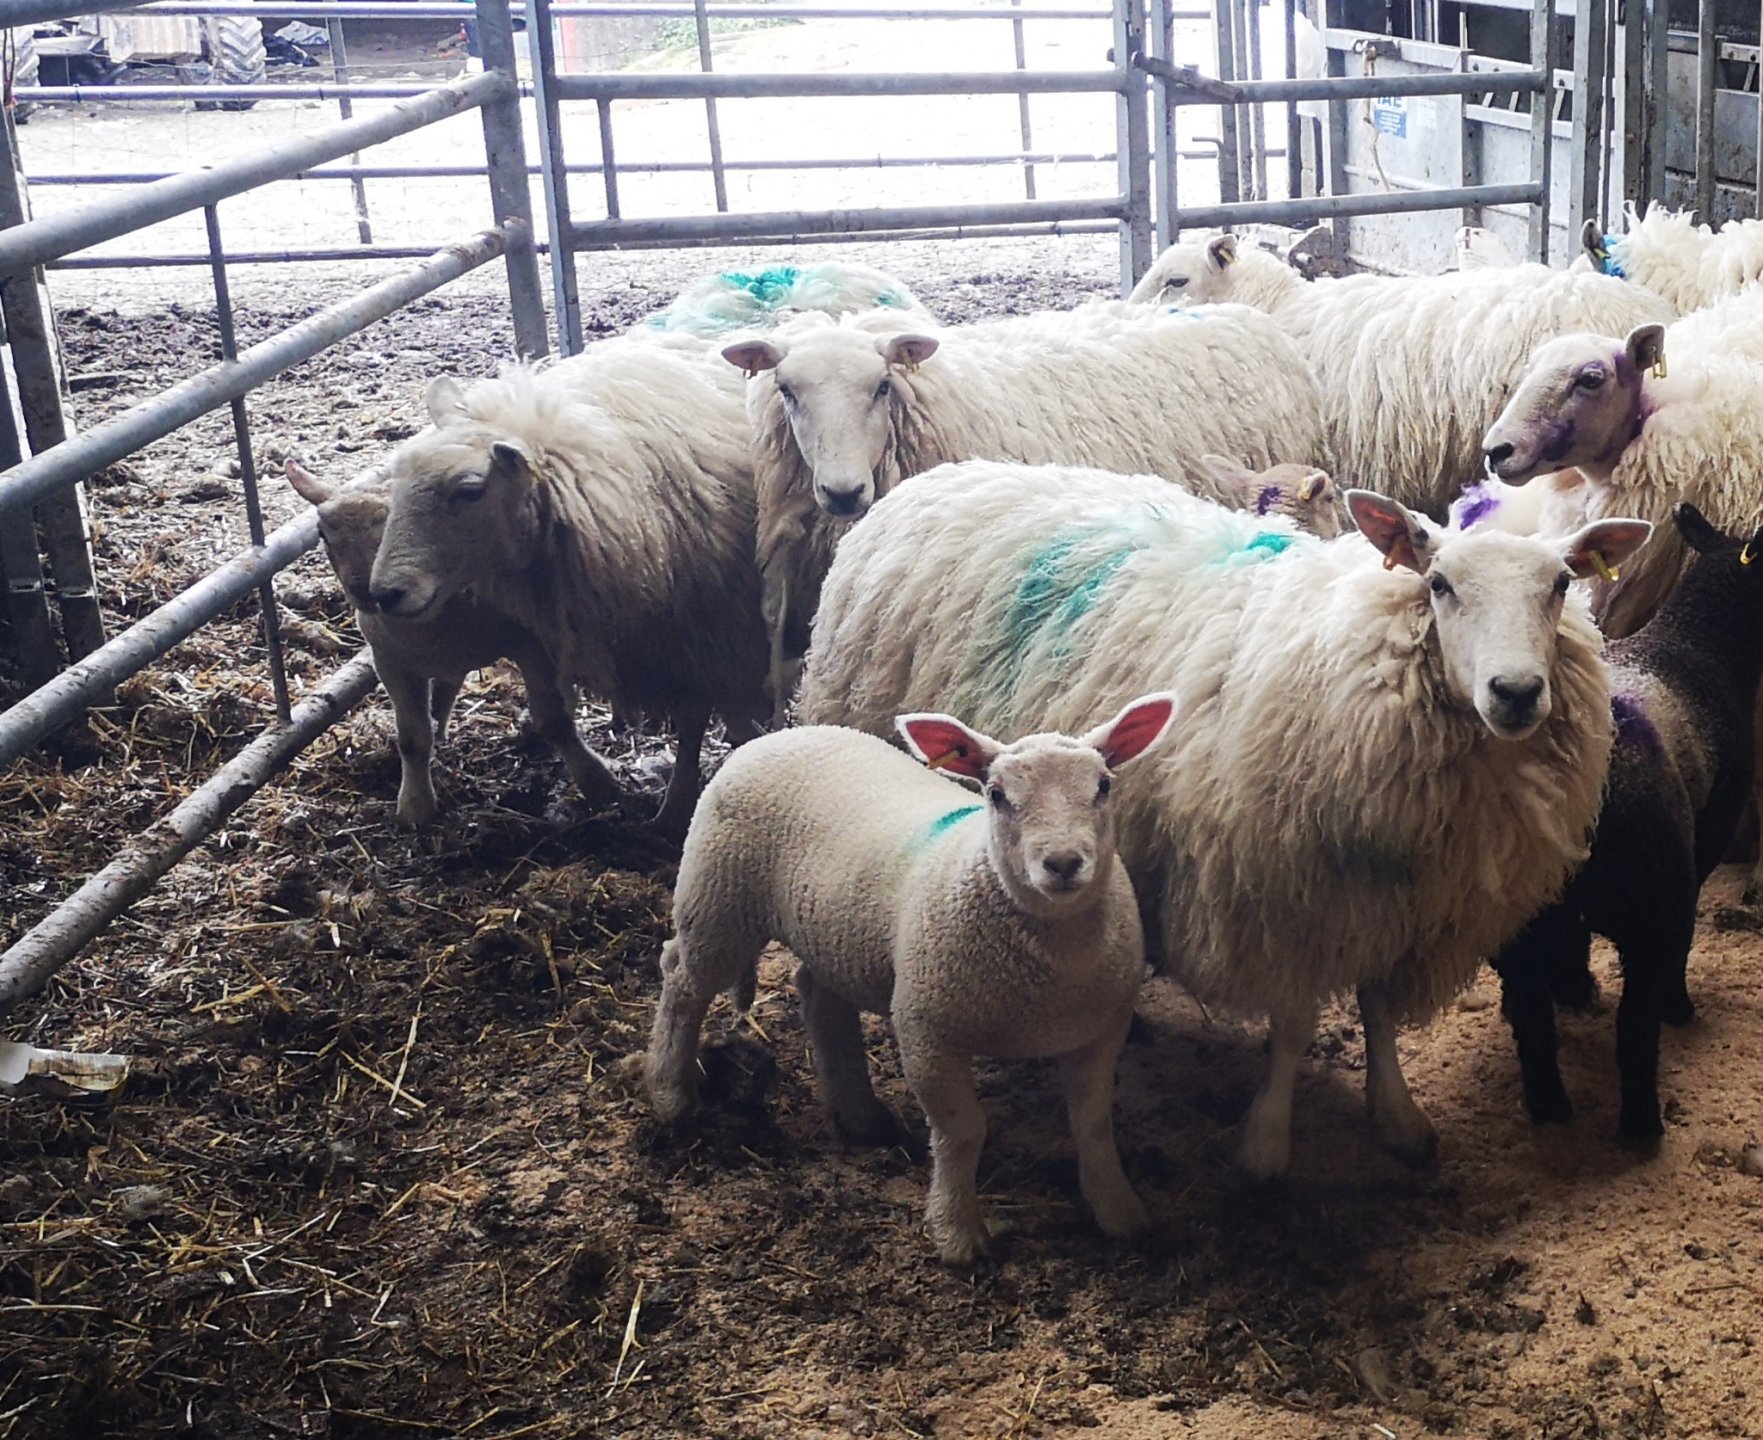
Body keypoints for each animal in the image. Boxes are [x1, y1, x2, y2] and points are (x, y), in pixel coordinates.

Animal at [285, 460, 617, 825]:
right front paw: (416, 807)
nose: (364, 591)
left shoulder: (532, 647)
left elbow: (555, 721)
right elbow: (412, 738)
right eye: (322, 534)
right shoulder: (390, 661)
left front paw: (599, 785)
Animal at [645, 693, 1177, 1264]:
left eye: (1103, 786)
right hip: (716, 898)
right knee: (682, 982)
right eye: (996, 794)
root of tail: (785, 731)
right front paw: (957, 1234)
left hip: (831, 928)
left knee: (820, 999)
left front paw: (1119, 1211)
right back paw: (670, 1093)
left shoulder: (1102, 1032)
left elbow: (1093, 1125)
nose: (1061, 863)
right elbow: (962, 1132)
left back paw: (861, 1115)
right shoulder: (927, 1030)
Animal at [794, 459, 1653, 1179]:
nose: (1515, 692)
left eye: (1559, 584)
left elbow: (1377, 1011)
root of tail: (927, 479)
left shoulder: (1399, 900)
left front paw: (1397, 1117)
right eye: (1438, 583)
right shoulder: (1285, 897)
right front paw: (1265, 1144)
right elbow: (1295, 1023)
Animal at [1488, 503, 1763, 1144]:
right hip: (1656, 898)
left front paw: (1572, 988)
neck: (1697, 640)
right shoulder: (1707, 837)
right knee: (1637, 1027)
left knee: (1530, 1017)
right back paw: (1642, 1124)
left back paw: (1549, 1105)